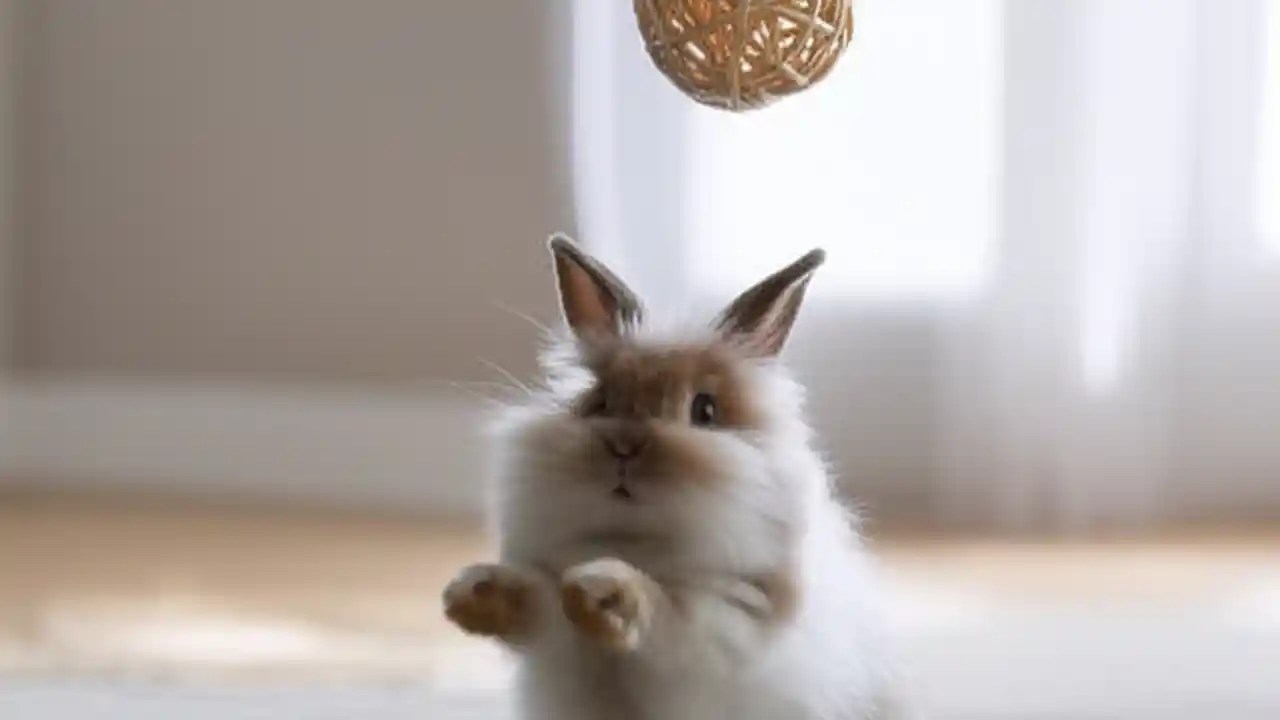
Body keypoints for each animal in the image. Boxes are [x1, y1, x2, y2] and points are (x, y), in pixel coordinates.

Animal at [442, 234, 901, 720]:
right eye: (599, 401)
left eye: (705, 411)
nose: (624, 446)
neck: (635, 538)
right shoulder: (562, 644)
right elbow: (543, 603)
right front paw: (474, 593)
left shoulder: (730, 617)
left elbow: (671, 619)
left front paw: (605, 589)